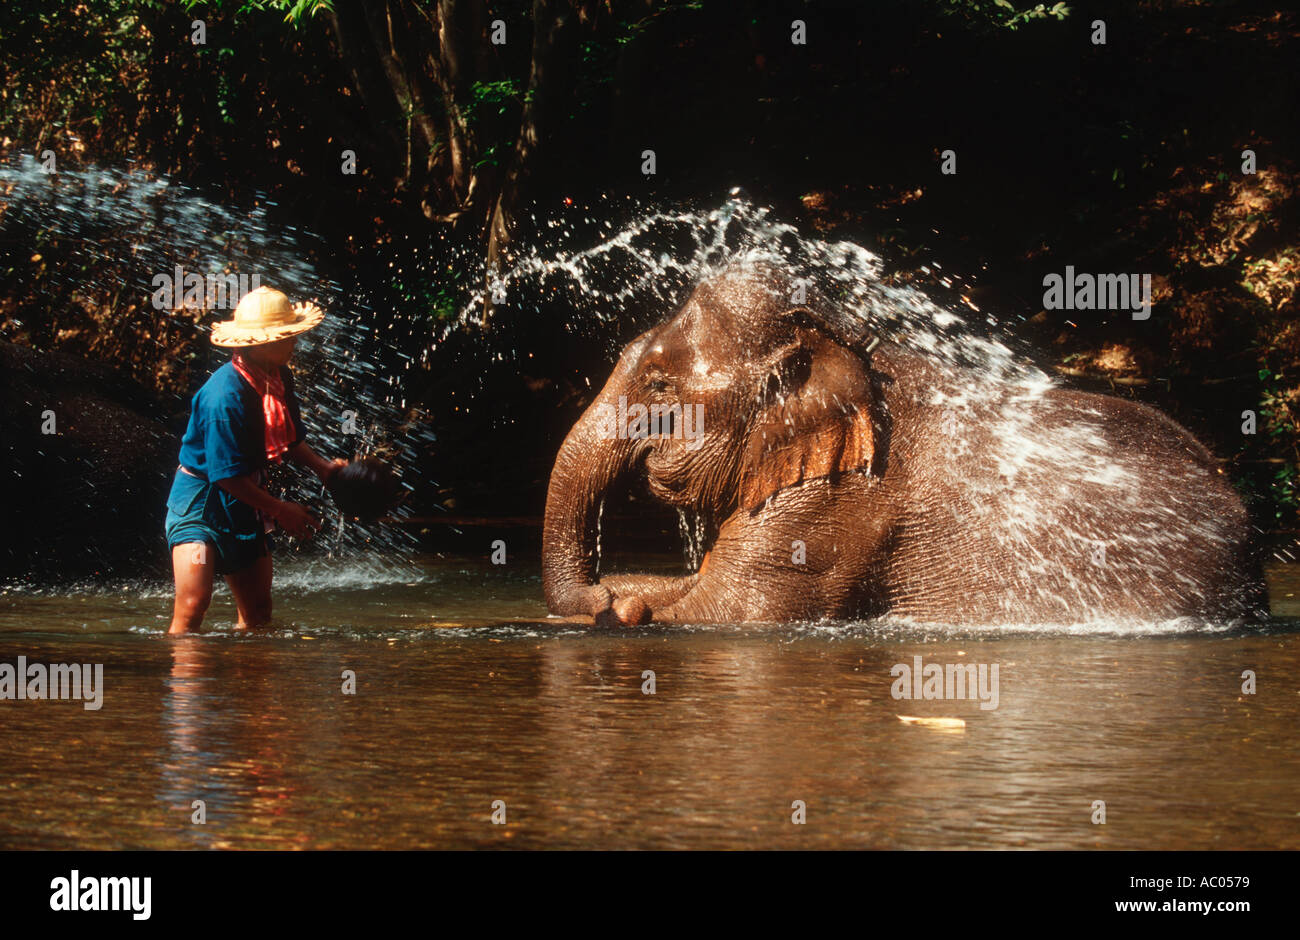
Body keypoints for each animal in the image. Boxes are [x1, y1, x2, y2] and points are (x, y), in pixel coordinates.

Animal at [541, 265, 1266, 625]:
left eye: (660, 384)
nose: (607, 597)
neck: (844, 341)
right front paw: (626, 597)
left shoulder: (838, 503)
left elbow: (730, 611)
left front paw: (623, 611)